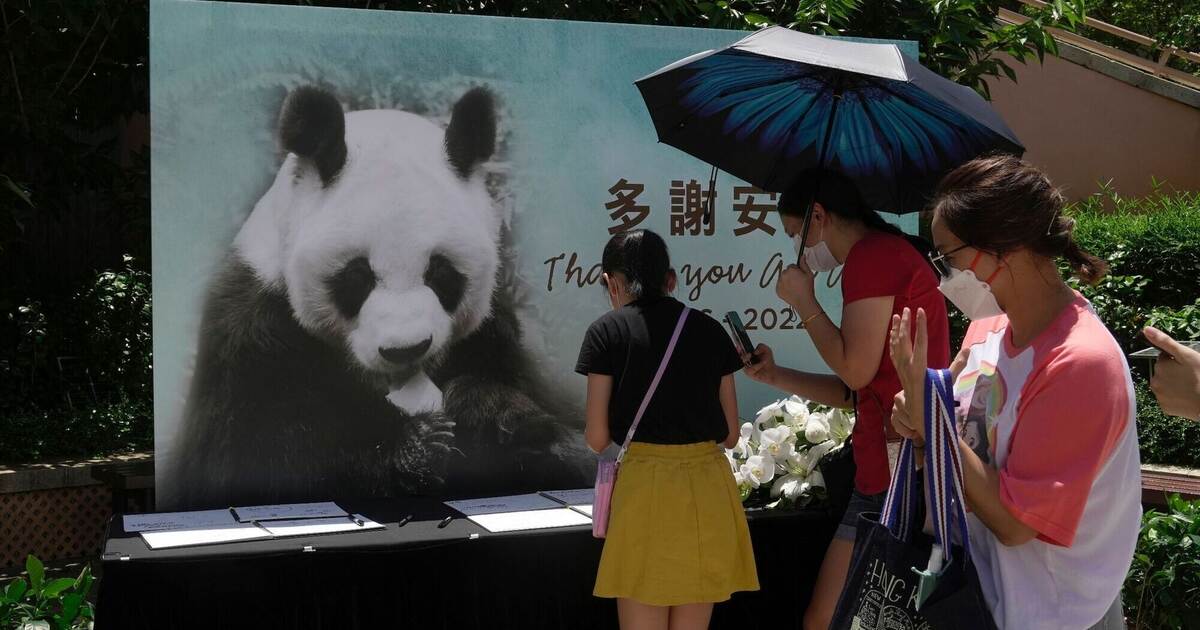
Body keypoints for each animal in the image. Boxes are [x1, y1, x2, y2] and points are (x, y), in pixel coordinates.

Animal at [161, 85, 590, 510]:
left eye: (440, 273)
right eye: (358, 277)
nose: (405, 349)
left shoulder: (499, 339)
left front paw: (486, 409)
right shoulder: (249, 340)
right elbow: (252, 456)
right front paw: (418, 446)